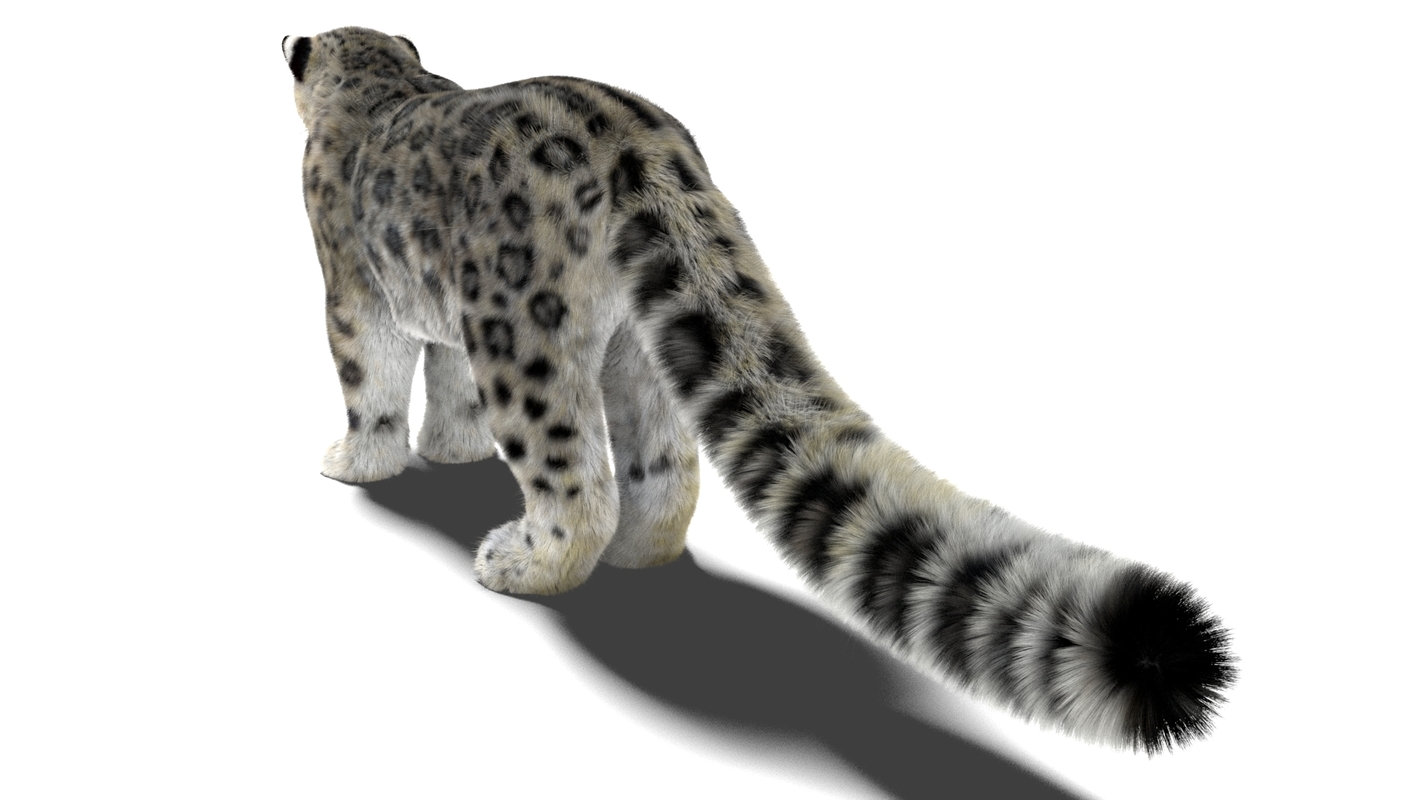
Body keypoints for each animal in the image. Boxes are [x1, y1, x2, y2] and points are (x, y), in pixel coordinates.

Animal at [283, 27, 1235, 753]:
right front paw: (448, 447)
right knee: (666, 461)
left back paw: (524, 563)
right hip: (636, 342)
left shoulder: (353, 289)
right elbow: (445, 379)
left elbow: (368, 373)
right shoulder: (438, 309)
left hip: (523, 329)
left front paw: (354, 459)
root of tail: (641, 138)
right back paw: (641, 551)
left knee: (573, 471)